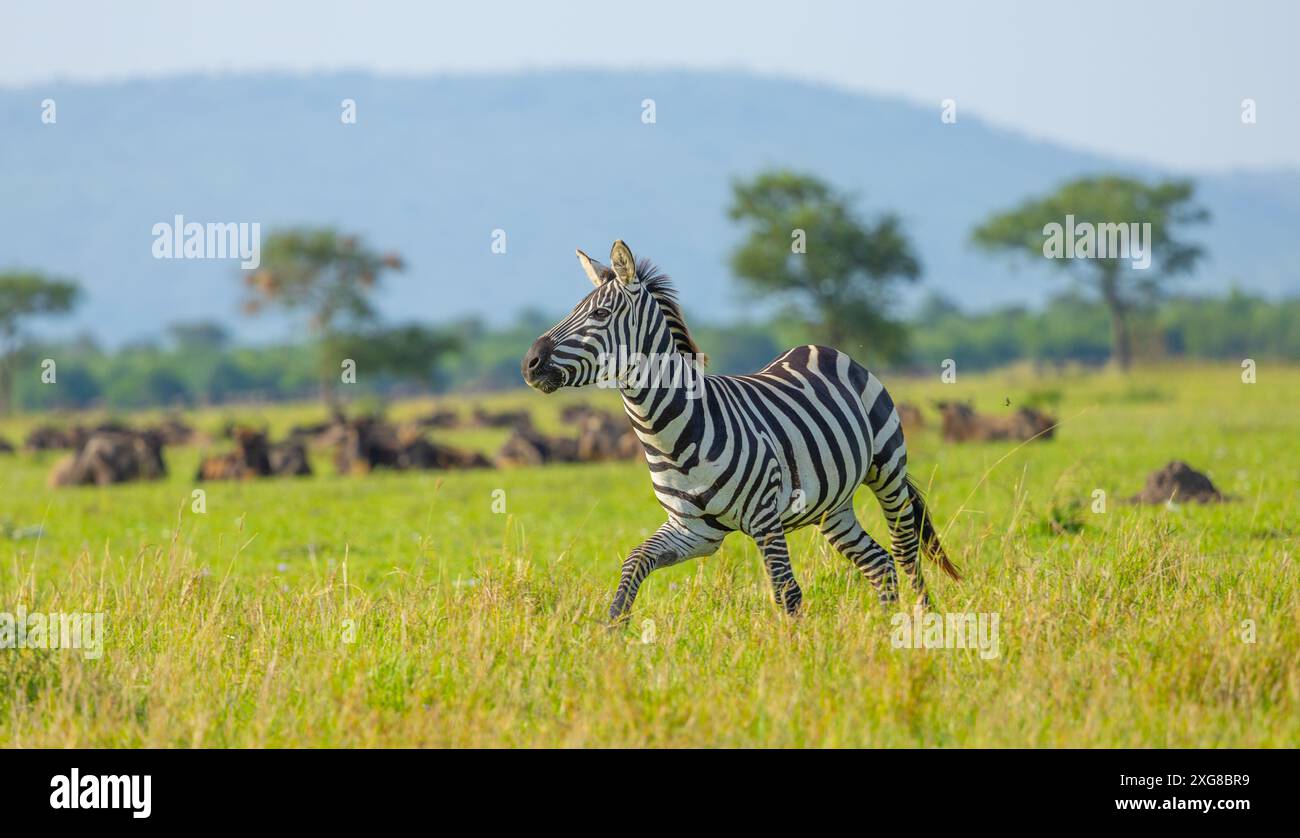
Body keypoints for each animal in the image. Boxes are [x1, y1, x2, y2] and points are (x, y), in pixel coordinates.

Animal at [521, 240, 960, 621]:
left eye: (599, 314)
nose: (529, 363)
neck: (670, 435)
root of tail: (821, 348)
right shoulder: (692, 530)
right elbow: (634, 562)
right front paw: (613, 632)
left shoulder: (765, 518)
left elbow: (787, 593)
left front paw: (797, 655)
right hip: (831, 505)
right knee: (878, 563)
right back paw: (883, 630)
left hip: (887, 469)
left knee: (904, 550)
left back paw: (918, 623)